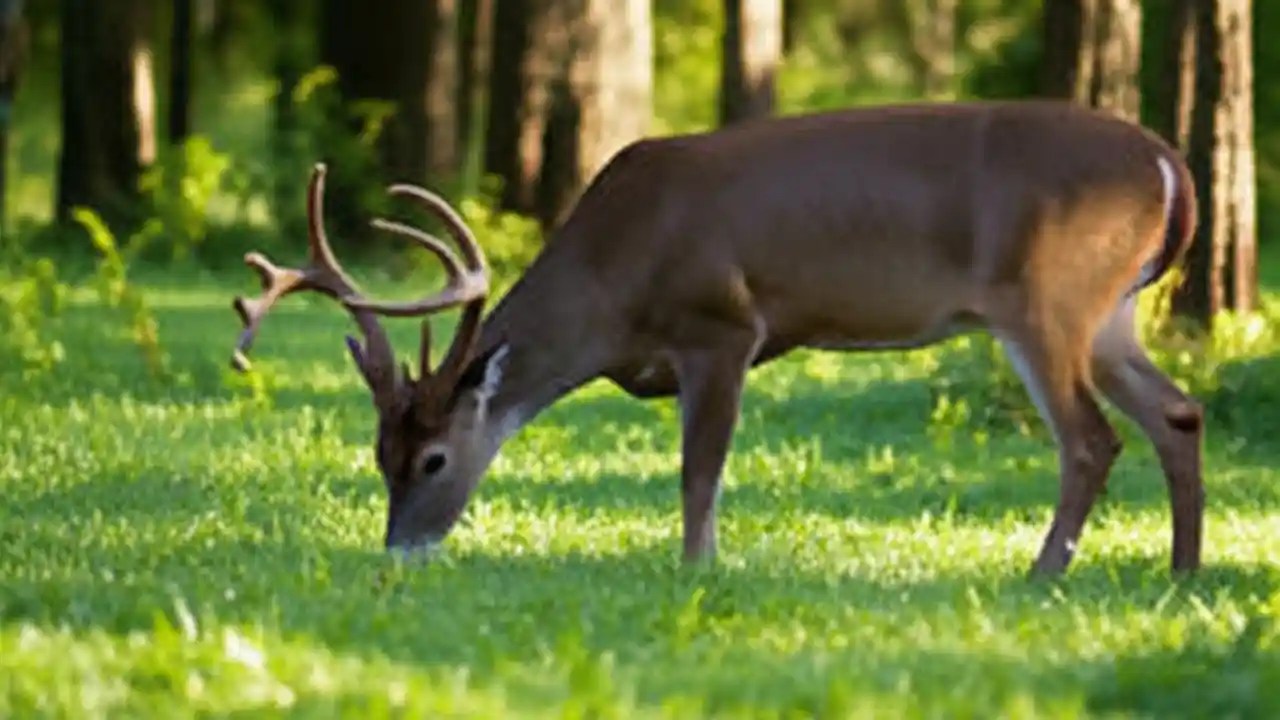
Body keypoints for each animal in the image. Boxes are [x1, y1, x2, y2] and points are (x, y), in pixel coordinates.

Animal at [230, 99, 1203, 577]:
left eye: (433, 459)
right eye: (379, 456)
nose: (401, 552)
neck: (614, 289)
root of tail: (1169, 163)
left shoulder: (724, 325)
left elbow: (701, 469)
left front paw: (698, 569)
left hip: (1046, 298)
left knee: (1091, 437)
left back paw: (1044, 574)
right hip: (1110, 313)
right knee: (1177, 414)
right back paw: (1181, 573)